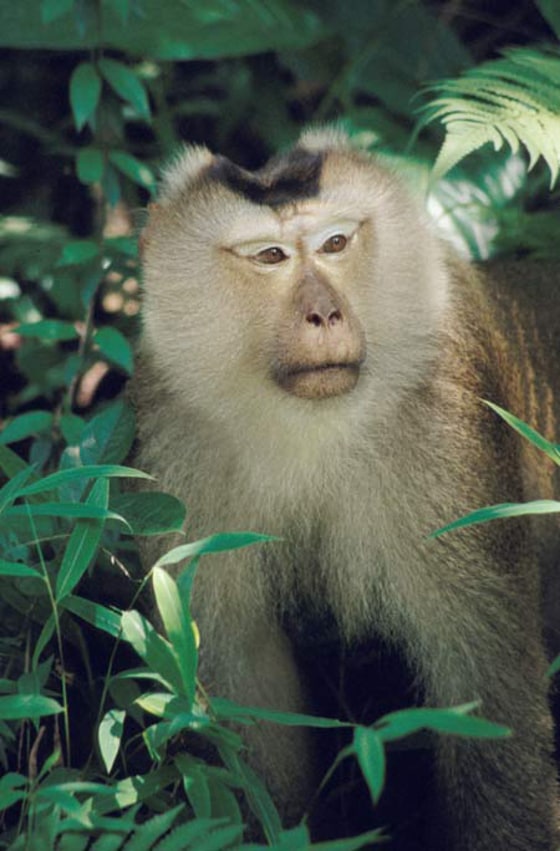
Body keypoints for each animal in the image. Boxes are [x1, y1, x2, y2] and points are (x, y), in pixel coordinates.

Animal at [133, 128, 560, 850]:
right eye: (271, 256)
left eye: (335, 243)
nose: (324, 312)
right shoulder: (177, 439)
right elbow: (240, 676)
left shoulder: (449, 433)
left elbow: (487, 690)